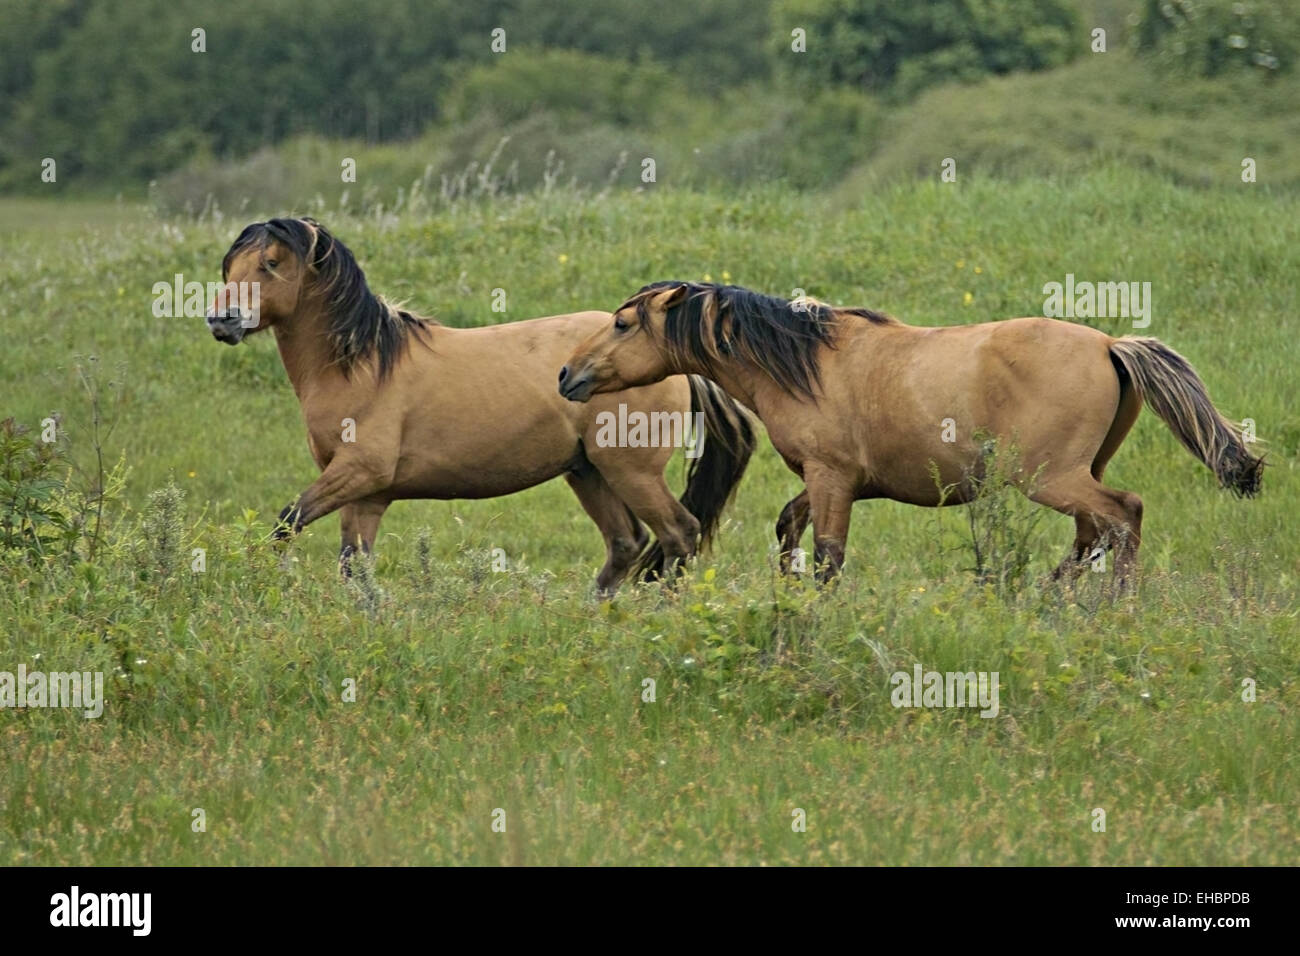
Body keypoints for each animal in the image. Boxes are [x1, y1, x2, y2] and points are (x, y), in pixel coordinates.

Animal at [205, 221, 757, 595]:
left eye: (272, 262)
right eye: (230, 266)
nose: (221, 319)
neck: (361, 365)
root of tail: (679, 366)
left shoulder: (359, 472)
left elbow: (286, 523)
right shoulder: (366, 496)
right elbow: (354, 567)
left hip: (632, 472)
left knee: (679, 533)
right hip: (587, 472)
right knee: (626, 542)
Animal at [559, 281, 1264, 588]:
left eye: (622, 323)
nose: (568, 375)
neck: (804, 363)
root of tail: (1111, 344)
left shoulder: (832, 479)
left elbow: (829, 555)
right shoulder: (833, 481)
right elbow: (789, 527)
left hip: (1053, 478)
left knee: (1123, 517)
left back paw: (1114, 603)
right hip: (1076, 474)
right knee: (1093, 534)